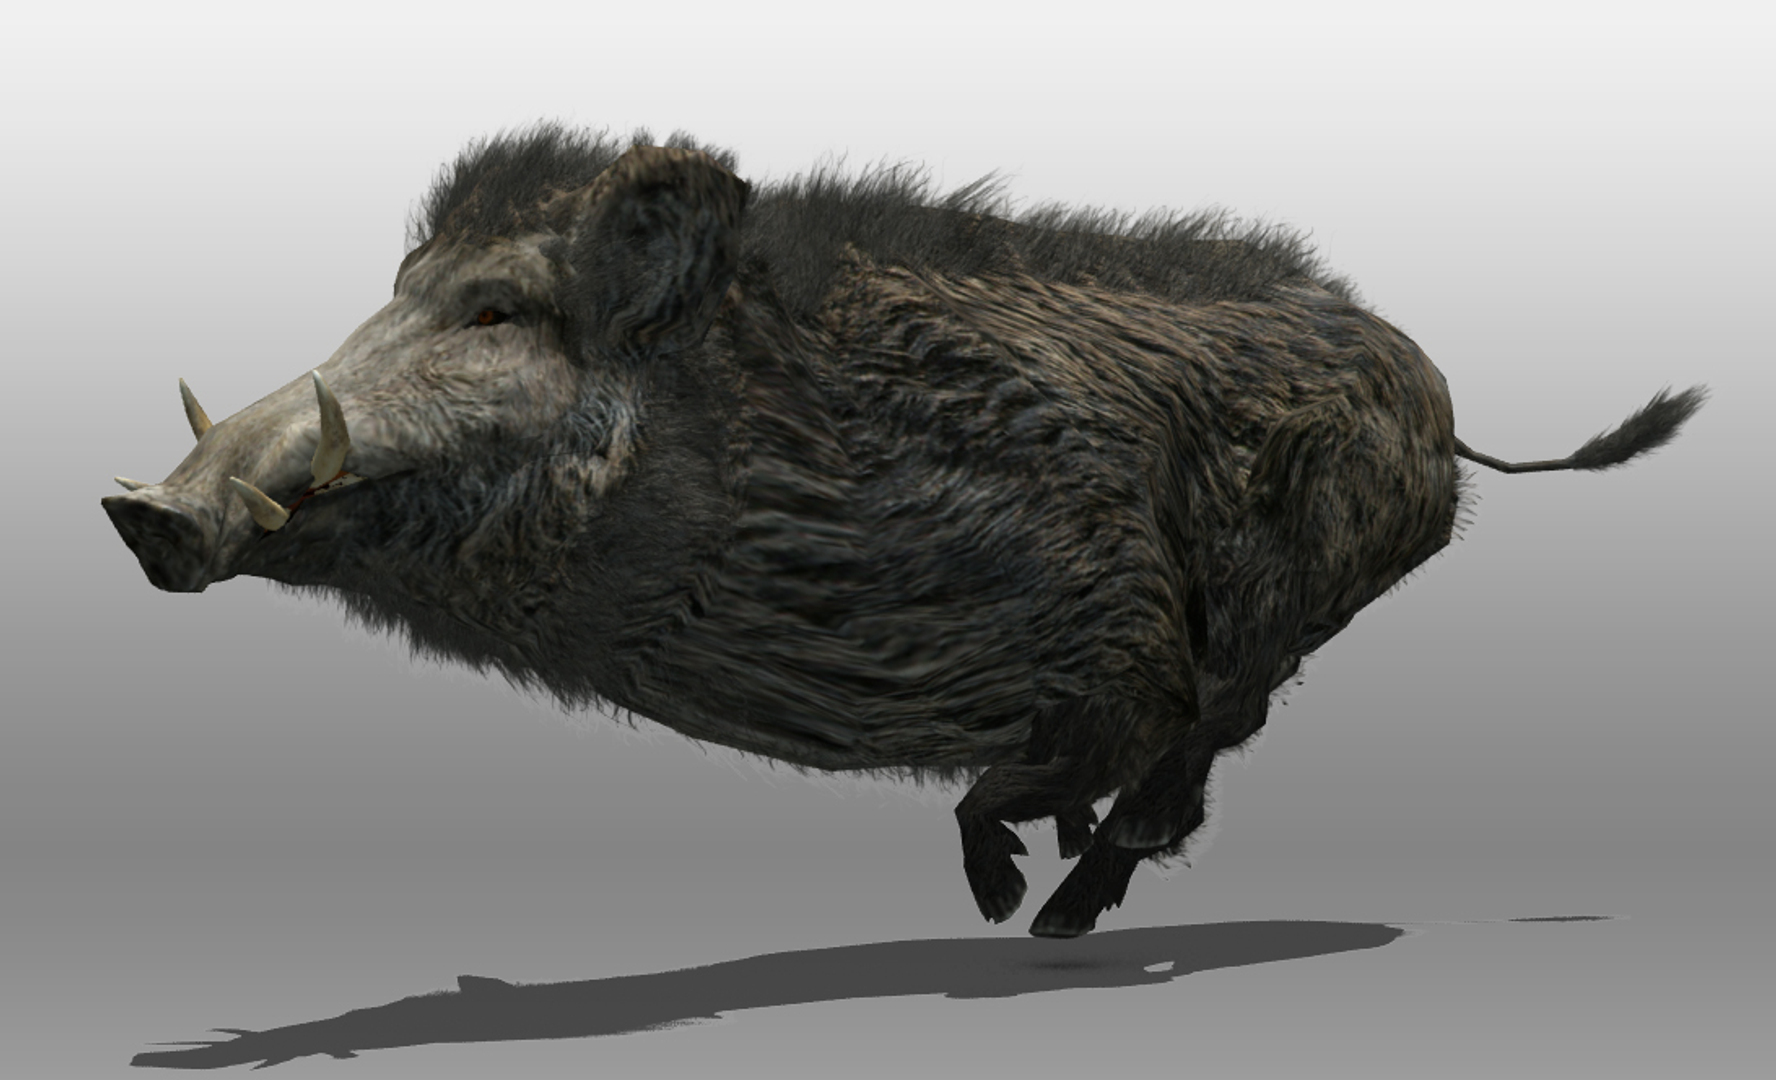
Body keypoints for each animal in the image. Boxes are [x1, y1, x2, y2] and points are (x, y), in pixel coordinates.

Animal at [103, 123, 1705, 938]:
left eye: (495, 311)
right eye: (402, 292)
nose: (144, 513)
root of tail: (1440, 407)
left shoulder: (1114, 630)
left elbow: (1061, 757)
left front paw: (999, 900)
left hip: (1282, 610)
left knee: (1201, 754)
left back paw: (1056, 918)